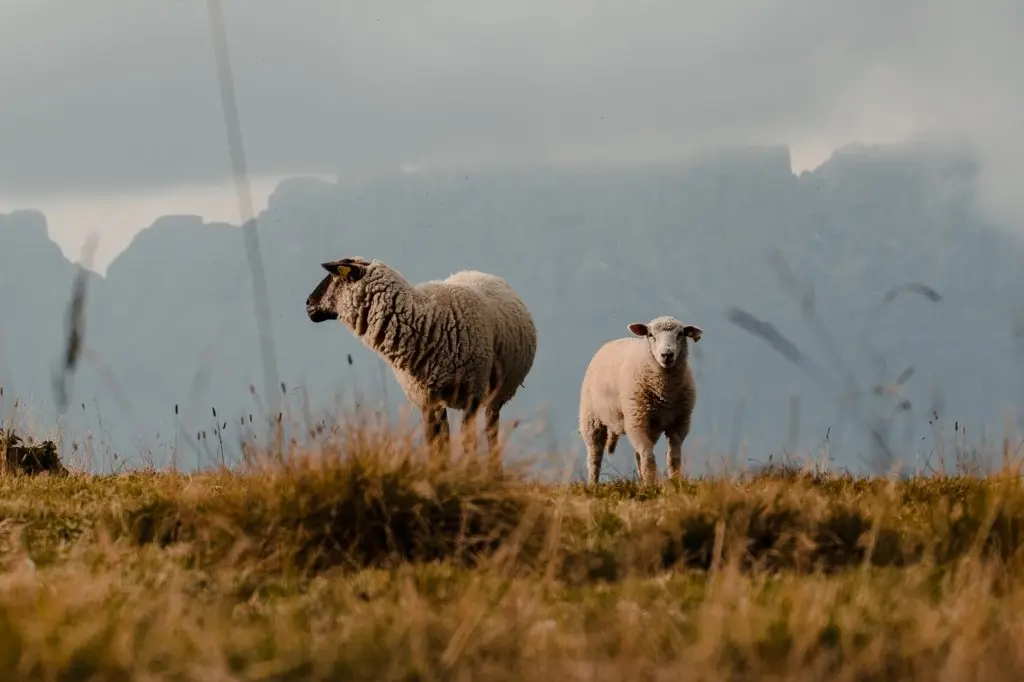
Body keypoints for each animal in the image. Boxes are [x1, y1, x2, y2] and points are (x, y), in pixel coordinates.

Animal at [303, 256, 540, 462]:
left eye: (334, 276)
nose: (308, 304)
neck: (427, 321)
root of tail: (476, 272)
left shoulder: (472, 394)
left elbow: (468, 444)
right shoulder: (426, 400)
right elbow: (436, 445)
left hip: (496, 394)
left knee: (491, 431)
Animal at [581, 315, 700, 485]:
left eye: (680, 334)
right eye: (651, 335)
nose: (667, 355)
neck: (665, 392)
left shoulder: (679, 424)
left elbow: (673, 458)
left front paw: (675, 482)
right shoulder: (637, 421)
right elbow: (648, 457)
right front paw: (651, 484)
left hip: (648, 427)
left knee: (637, 455)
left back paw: (641, 481)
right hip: (592, 418)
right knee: (594, 455)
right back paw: (592, 484)